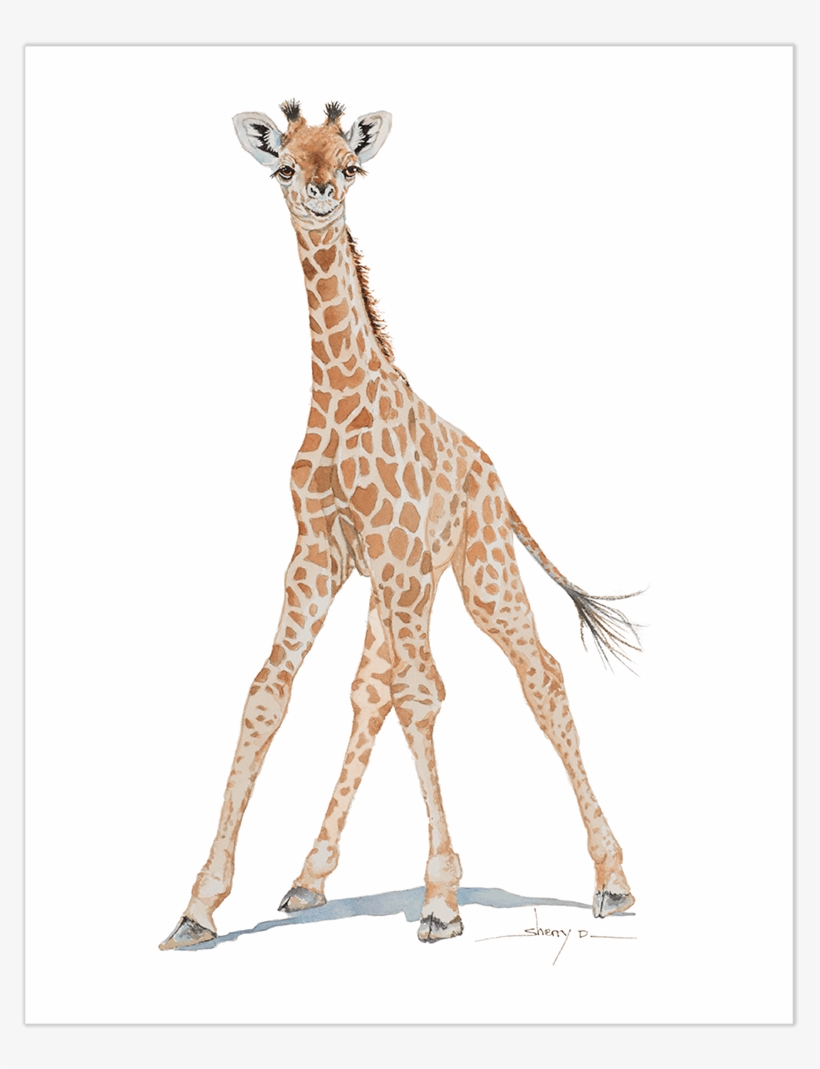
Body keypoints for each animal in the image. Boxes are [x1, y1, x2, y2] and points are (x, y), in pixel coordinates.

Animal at [159, 100, 640, 951]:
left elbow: (424, 694)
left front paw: (441, 900)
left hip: (476, 567)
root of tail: (493, 473)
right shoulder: (319, 553)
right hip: (410, 581)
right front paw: (198, 905)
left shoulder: (389, 553)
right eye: (285, 166)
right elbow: (269, 692)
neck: (339, 398)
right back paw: (308, 877)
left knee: (538, 676)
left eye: (350, 165)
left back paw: (613, 881)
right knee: (371, 690)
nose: (320, 196)